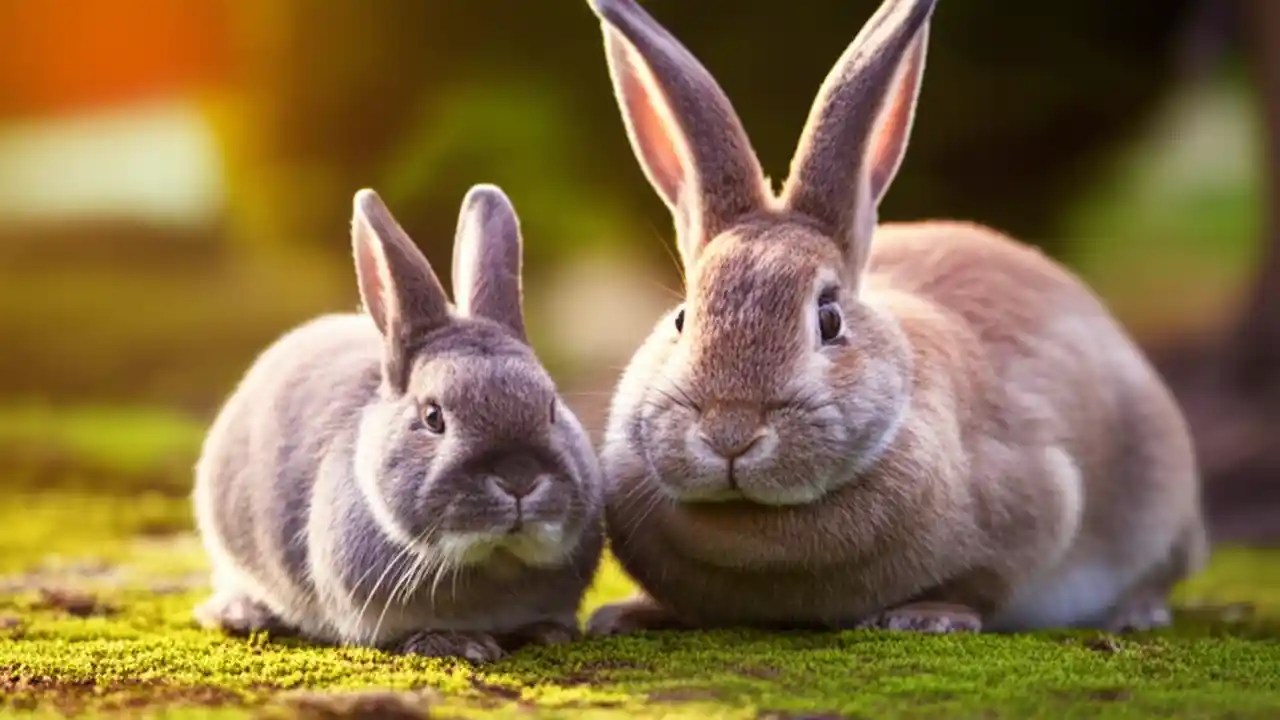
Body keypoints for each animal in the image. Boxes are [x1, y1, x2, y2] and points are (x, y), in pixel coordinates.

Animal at [193, 186, 603, 662]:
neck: (493, 564)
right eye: (433, 417)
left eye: (551, 408)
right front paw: (461, 644)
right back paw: (243, 614)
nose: (518, 478)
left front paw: (546, 632)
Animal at [584, 0, 1206, 635]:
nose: (729, 434)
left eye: (829, 319)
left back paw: (1135, 613)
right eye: (682, 319)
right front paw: (627, 614)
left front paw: (927, 617)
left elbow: (983, 584)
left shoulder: (1043, 498)